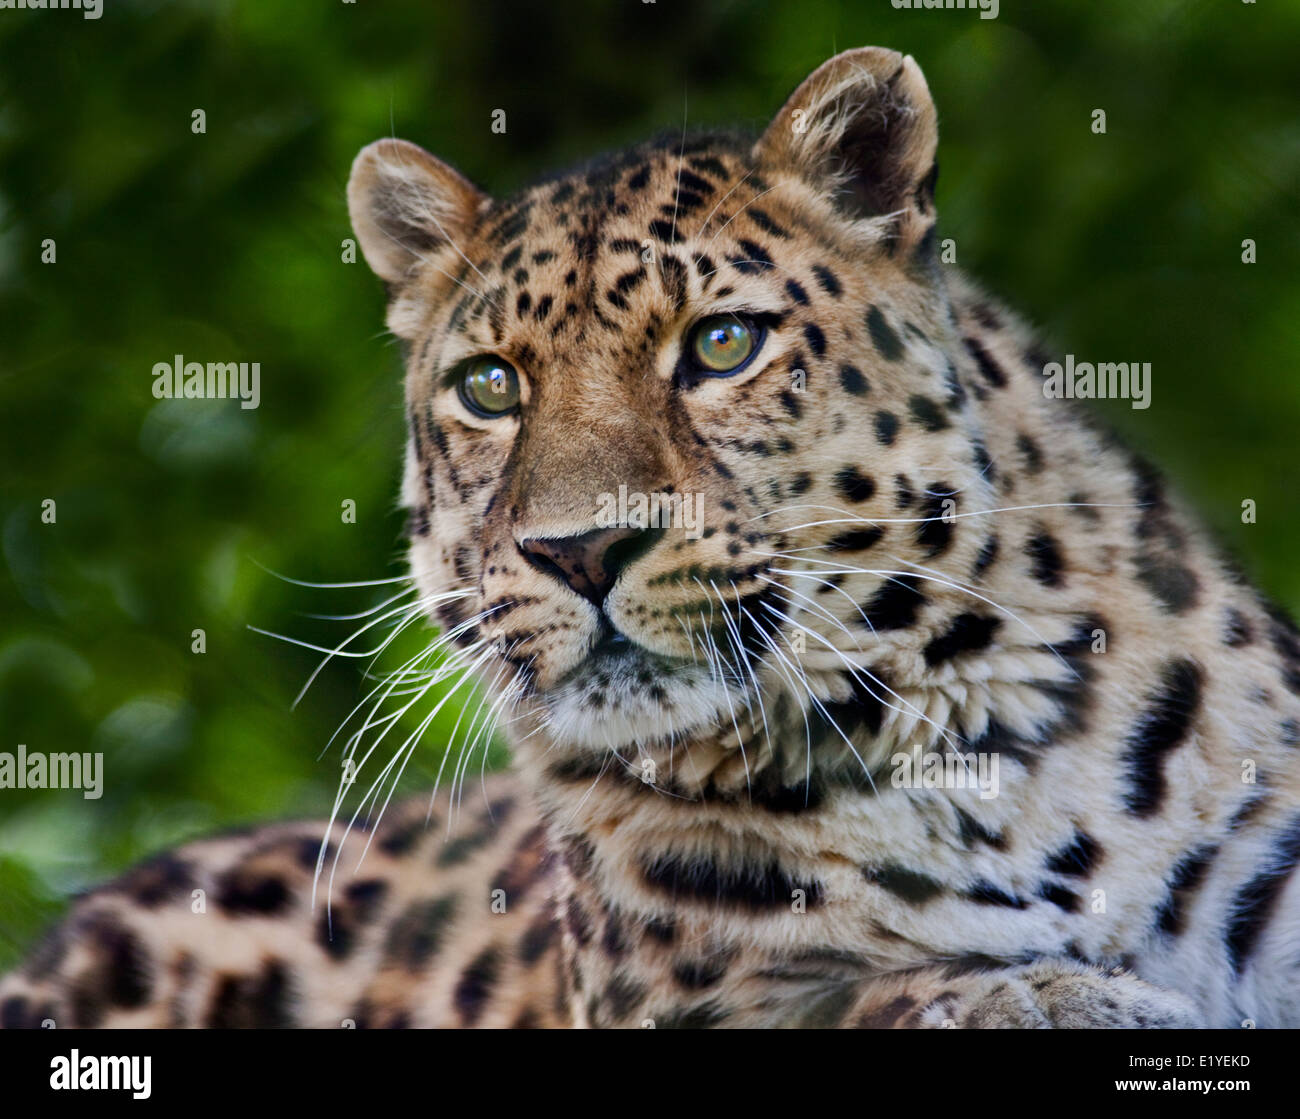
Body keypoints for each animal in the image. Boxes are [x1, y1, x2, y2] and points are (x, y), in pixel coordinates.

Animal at [4, 46, 1299, 1030]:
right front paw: (1056, 992)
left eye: (721, 345)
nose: (579, 552)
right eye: (489, 386)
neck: (973, 748)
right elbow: (885, 991)